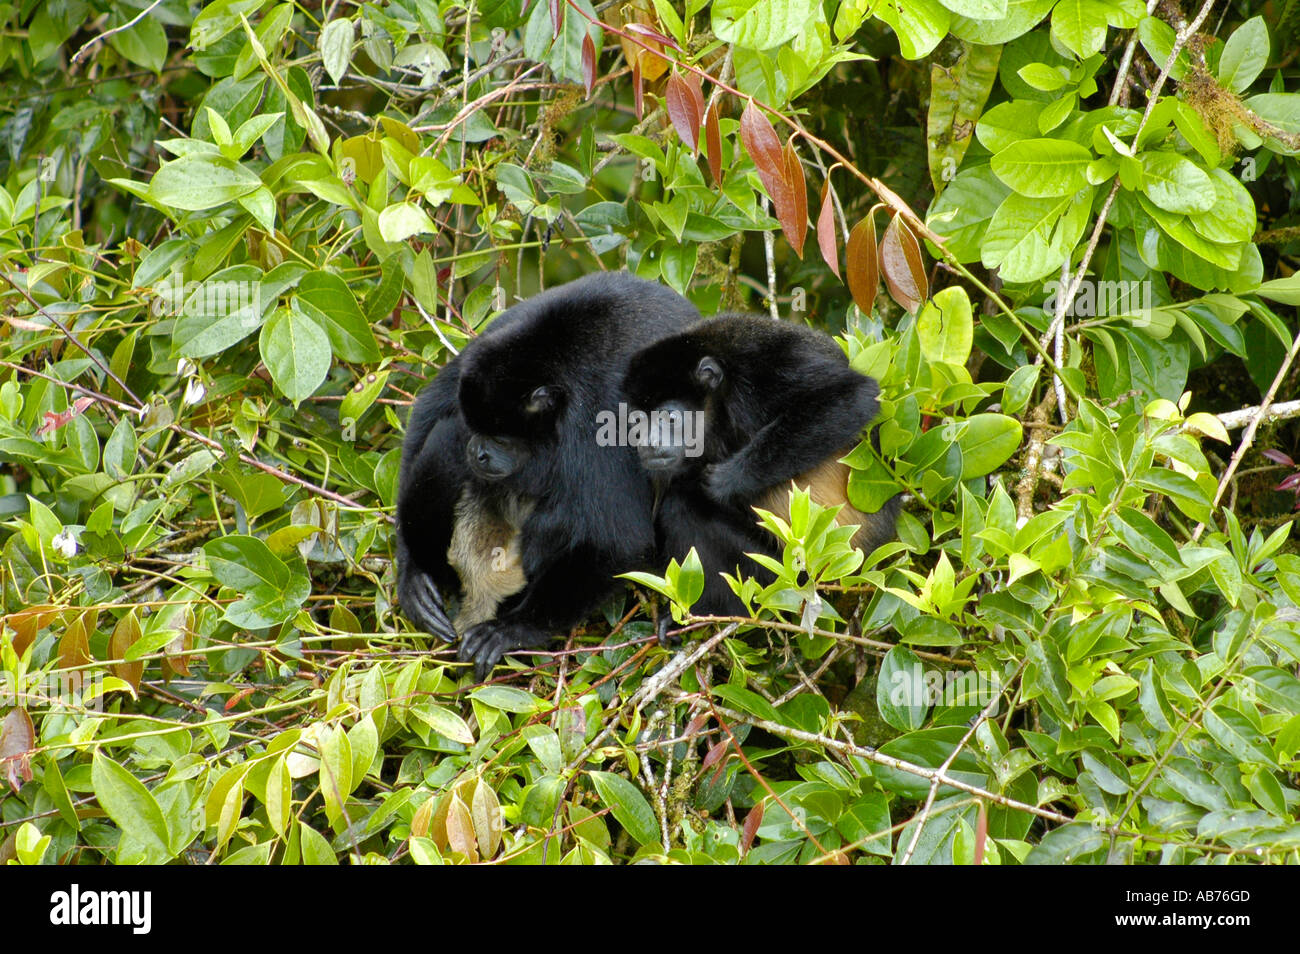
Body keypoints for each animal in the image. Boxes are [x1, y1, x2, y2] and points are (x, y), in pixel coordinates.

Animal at [395, 272, 701, 679]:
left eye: (502, 438)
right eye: (479, 427)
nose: (478, 450)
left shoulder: (598, 415)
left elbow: (619, 540)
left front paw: (511, 630)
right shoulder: (490, 345)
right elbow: (428, 410)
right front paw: (412, 575)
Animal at [621, 312, 899, 628]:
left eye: (668, 416)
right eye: (637, 420)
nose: (648, 443)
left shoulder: (764, 370)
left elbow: (853, 396)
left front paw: (725, 482)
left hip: (787, 572)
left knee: (683, 508)